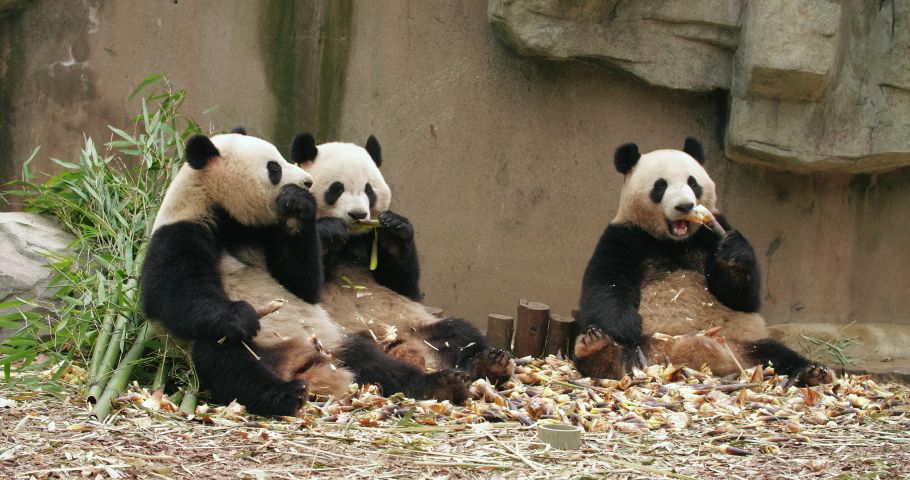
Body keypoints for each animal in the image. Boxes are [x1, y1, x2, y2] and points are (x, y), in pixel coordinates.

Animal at [140, 129, 471, 417]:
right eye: (274, 167)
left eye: (369, 191)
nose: (306, 183)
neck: (230, 219)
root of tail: (302, 363)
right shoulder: (182, 231)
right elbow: (173, 297)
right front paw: (240, 315)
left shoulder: (267, 236)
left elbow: (302, 284)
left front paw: (301, 210)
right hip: (255, 348)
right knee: (227, 359)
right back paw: (284, 395)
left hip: (336, 344)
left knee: (379, 363)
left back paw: (441, 383)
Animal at [289, 133, 515, 386]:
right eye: (336, 188)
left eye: (369, 190)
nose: (358, 215)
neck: (351, 238)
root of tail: (398, 344)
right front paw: (329, 231)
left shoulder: (371, 240)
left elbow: (404, 283)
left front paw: (395, 228)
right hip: (335, 339)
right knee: (366, 363)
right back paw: (434, 384)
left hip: (419, 324)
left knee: (461, 332)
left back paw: (489, 363)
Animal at [573, 138, 834, 386]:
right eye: (660, 185)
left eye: (692, 182)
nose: (685, 206)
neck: (673, 241)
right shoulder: (626, 236)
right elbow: (607, 283)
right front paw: (625, 327)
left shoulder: (710, 234)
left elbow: (742, 298)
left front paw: (735, 255)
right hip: (648, 344)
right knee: (615, 355)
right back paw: (600, 349)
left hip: (746, 343)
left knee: (779, 354)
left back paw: (813, 373)